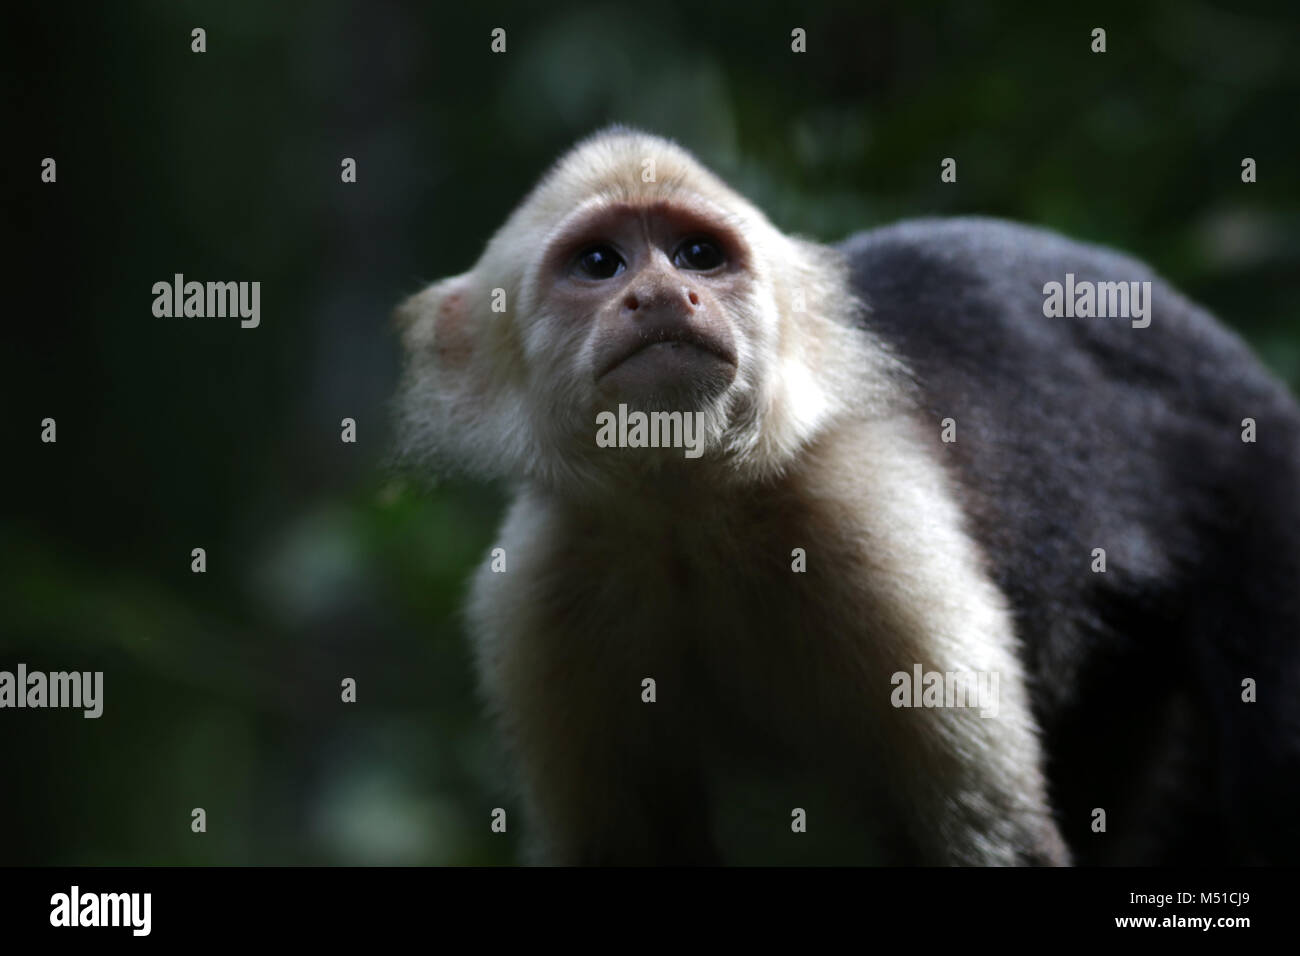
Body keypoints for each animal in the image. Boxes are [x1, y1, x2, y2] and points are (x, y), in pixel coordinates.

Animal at [394, 127, 1300, 866]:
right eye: (598, 264)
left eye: (696, 256)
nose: (661, 295)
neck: (688, 513)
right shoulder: (540, 592)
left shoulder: (864, 509)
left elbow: (990, 843)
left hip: (1260, 482)